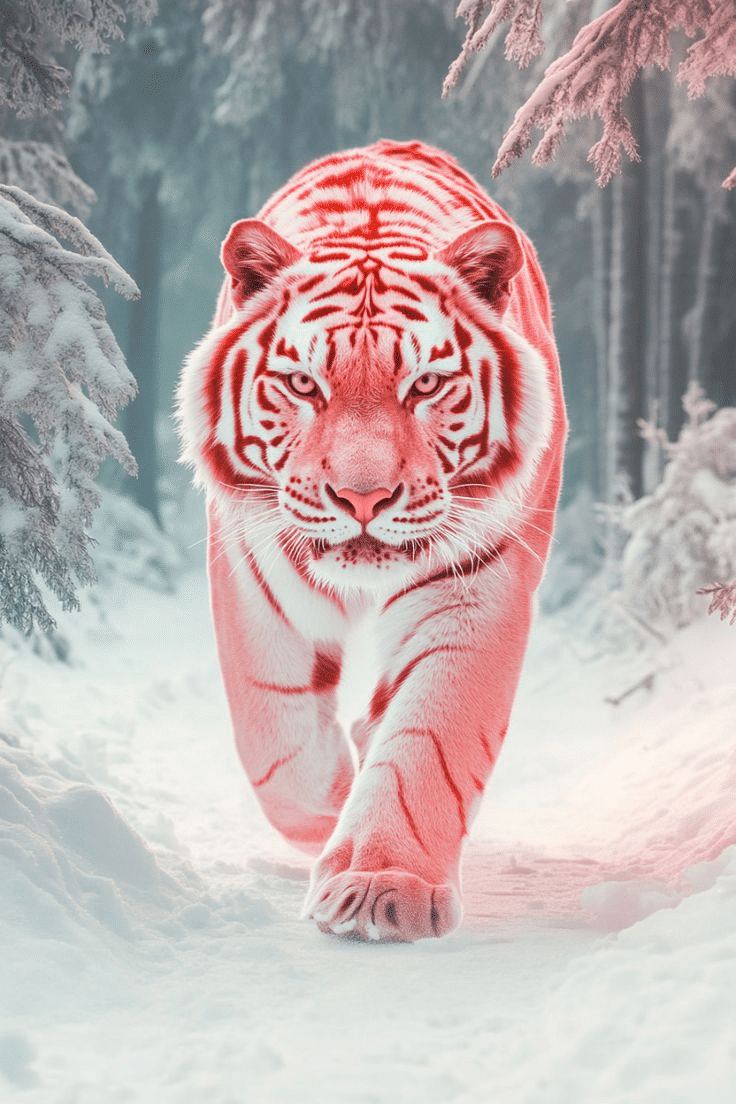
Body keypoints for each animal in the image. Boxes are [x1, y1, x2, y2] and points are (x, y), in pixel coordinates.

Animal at [177, 140, 566, 942]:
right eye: (303, 385)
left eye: (425, 386)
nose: (362, 497)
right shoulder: (252, 568)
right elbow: (273, 732)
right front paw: (331, 806)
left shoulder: (475, 586)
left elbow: (430, 737)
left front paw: (381, 884)